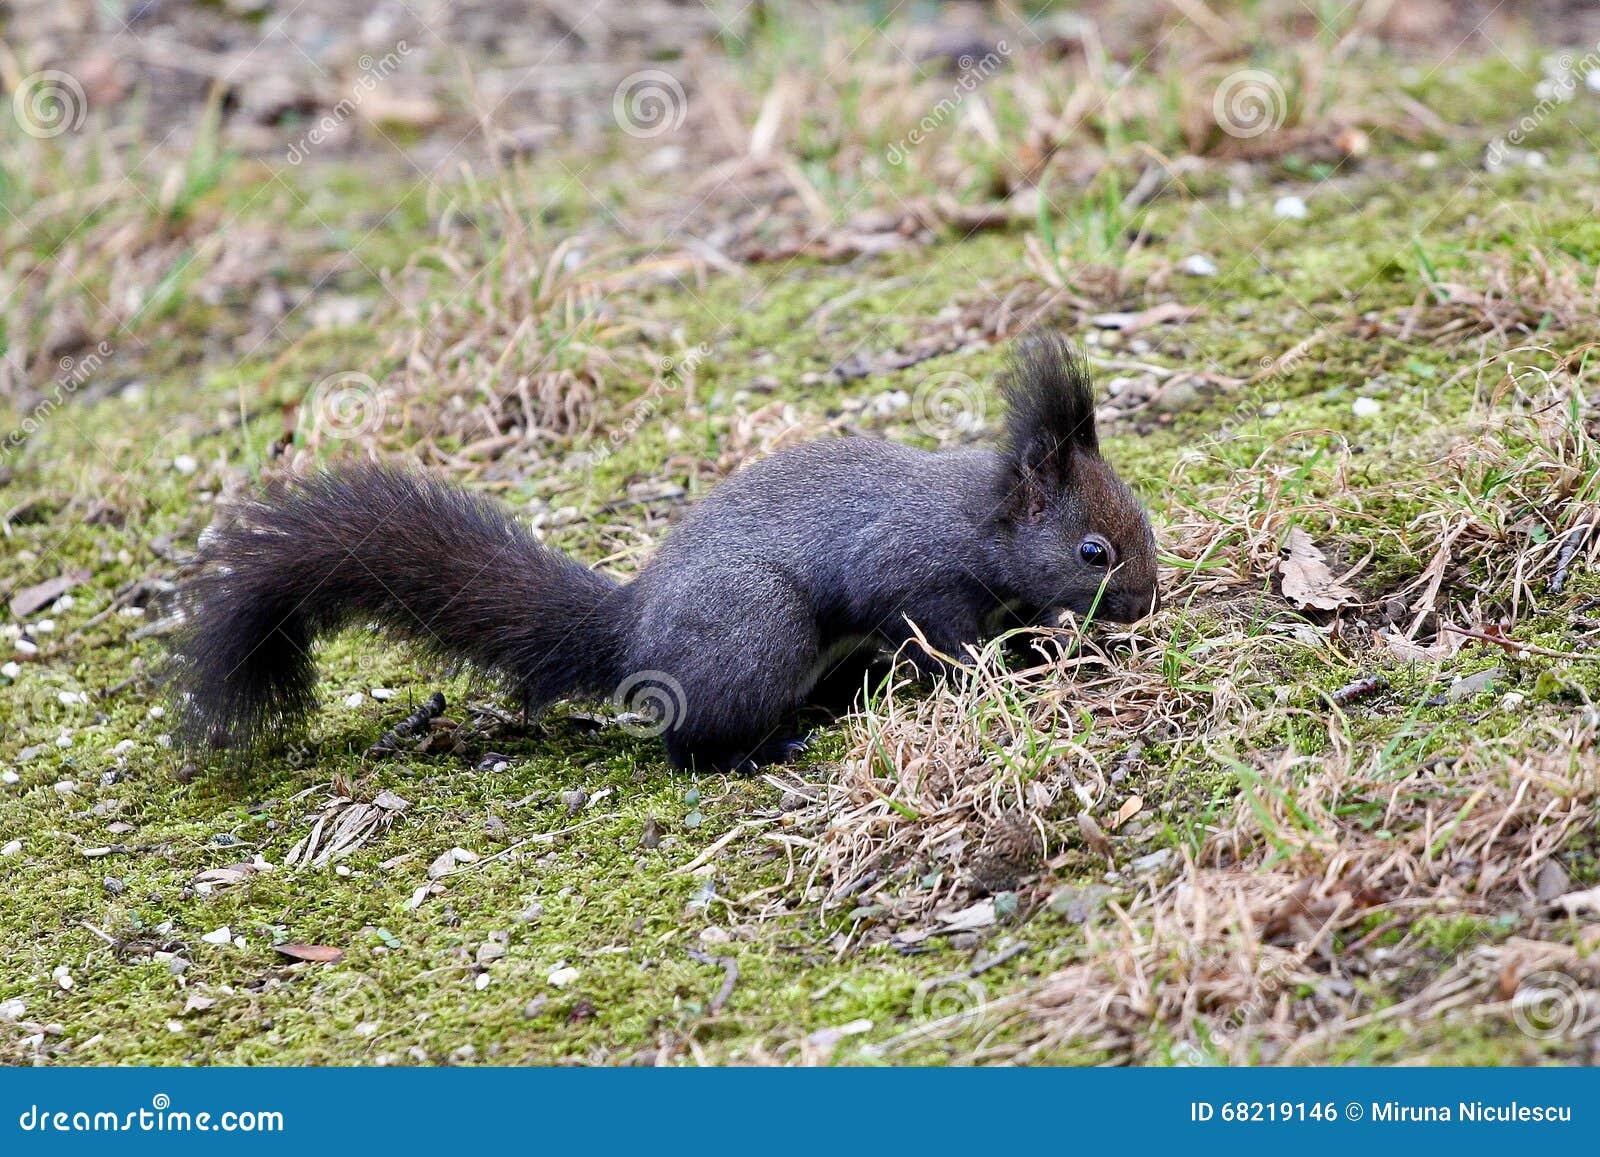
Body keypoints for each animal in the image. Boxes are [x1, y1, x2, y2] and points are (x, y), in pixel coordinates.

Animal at [170, 333, 1160, 771]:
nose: (1148, 601)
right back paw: (768, 746)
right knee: (688, 740)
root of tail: (631, 632)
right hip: (758, 628)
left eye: (1142, 518)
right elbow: (942, 638)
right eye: (1093, 549)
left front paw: (1050, 648)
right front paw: (1000, 672)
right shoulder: (911, 571)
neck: (982, 522)